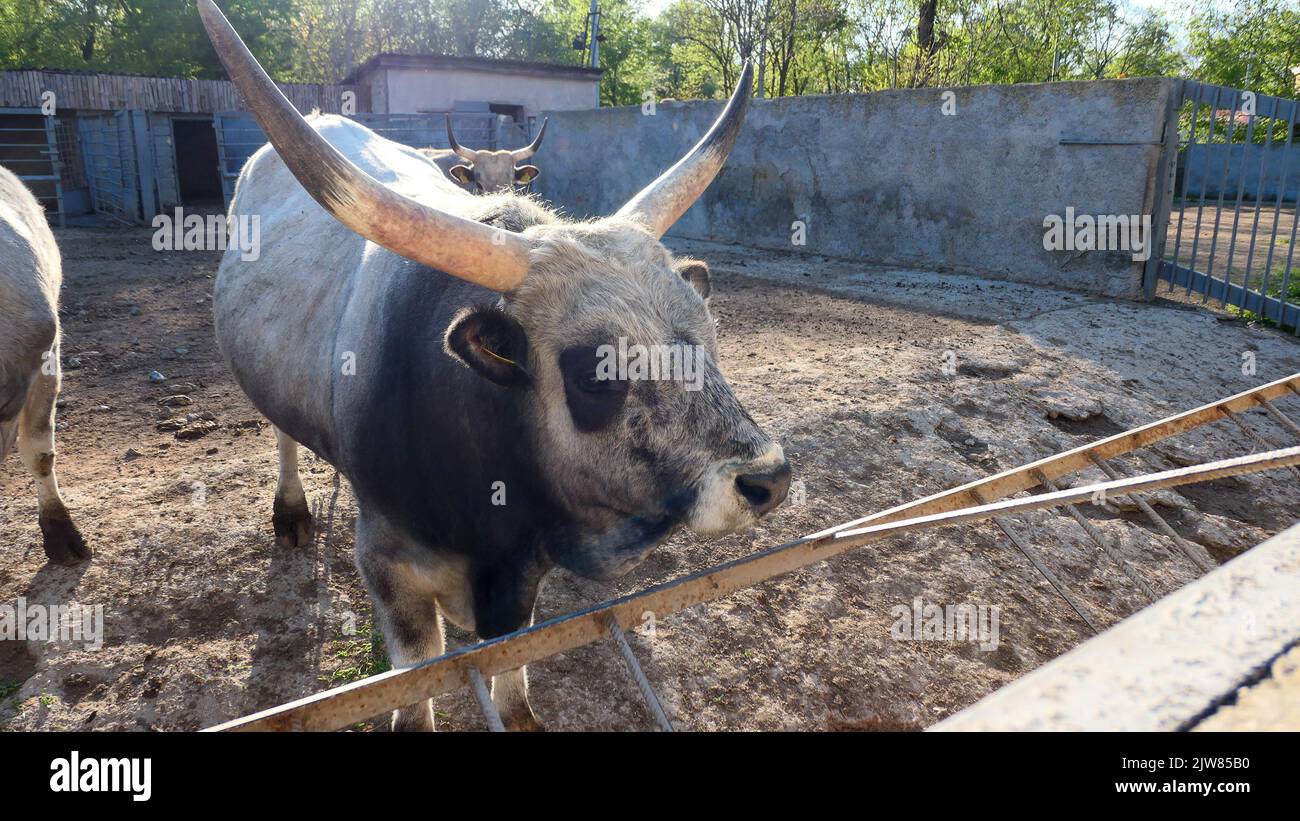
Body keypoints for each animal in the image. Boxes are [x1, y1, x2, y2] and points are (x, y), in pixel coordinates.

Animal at [198, 0, 790, 731]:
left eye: (710, 334)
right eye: (595, 370)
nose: (768, 478)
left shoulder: (521, 574)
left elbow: (511, 665)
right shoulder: (389, 570)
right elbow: (413, 684)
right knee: (280, 432)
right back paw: (291, 513)